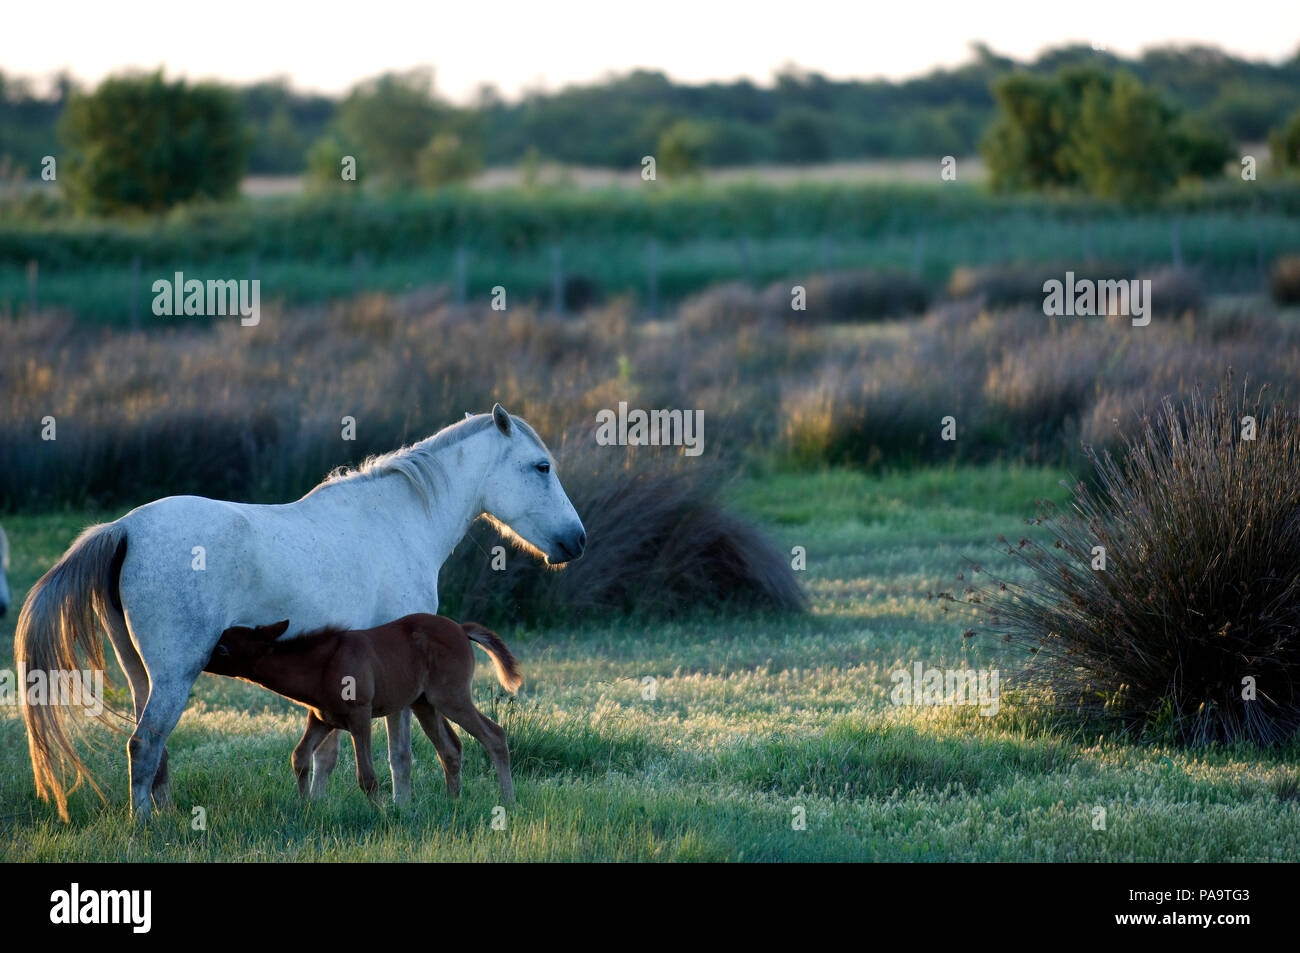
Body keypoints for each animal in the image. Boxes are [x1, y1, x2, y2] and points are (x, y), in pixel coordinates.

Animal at [206, 614, 518, 804]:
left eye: (222, 649)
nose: (201, 660)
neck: (320, 668)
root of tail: (462, 630)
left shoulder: (360, 714)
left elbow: (367, 777)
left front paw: (381, 814)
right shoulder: (322, 719)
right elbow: (300, 757)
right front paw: (305, 806)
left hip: (450, 697)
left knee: (494, 735)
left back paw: (507, 800)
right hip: (424, 703)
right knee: (451, 748)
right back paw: (453, 801)